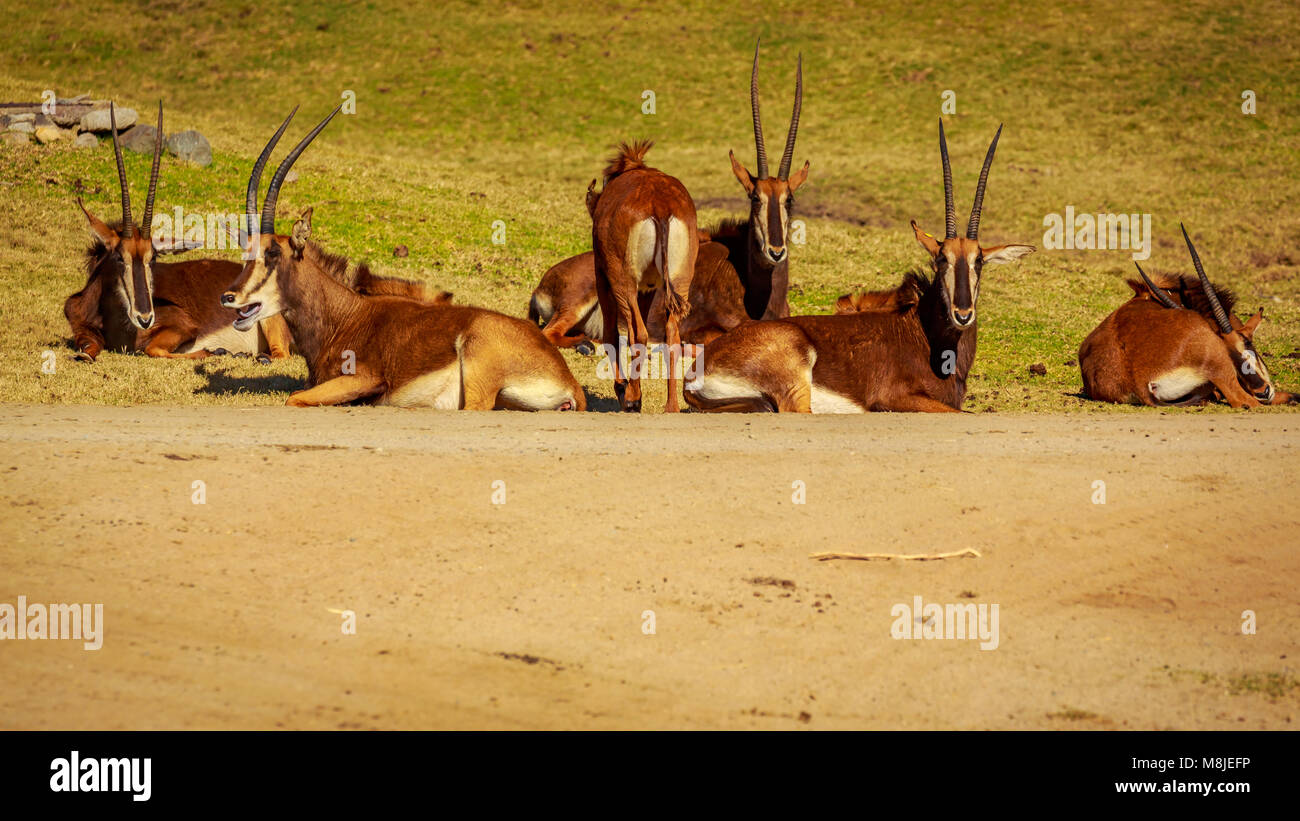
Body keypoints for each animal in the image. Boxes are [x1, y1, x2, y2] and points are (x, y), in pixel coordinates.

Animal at [63, 103, 294, 362]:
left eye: (152, 258)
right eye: (119, 258)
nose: (145, 318)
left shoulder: (184, 326)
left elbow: (152, 349)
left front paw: (215, 350)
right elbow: (87, 346)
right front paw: (85, 354)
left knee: (280, 354)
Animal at [221, 107, 584, 411]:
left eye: (273, 253)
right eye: (247, 253)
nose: (229, 297)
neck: (346, 315)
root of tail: (569, 381)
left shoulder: (365, 378)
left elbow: (294, 397)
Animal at [590, 140, 698, 412]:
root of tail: (659, 205)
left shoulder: (603, 275)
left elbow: (611, 332)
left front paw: (622, 389)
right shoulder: (648, 287)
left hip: (622, 281)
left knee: (637, 332)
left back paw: (631, 397)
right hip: (681, 280)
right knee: (672, 334)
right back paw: (671, 406)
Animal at [683, 120, 1035, 413]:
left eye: (979, 261)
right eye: (941, 259)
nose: (962, 314)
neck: (924, 334)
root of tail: (696, 372)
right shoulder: (895, 398)